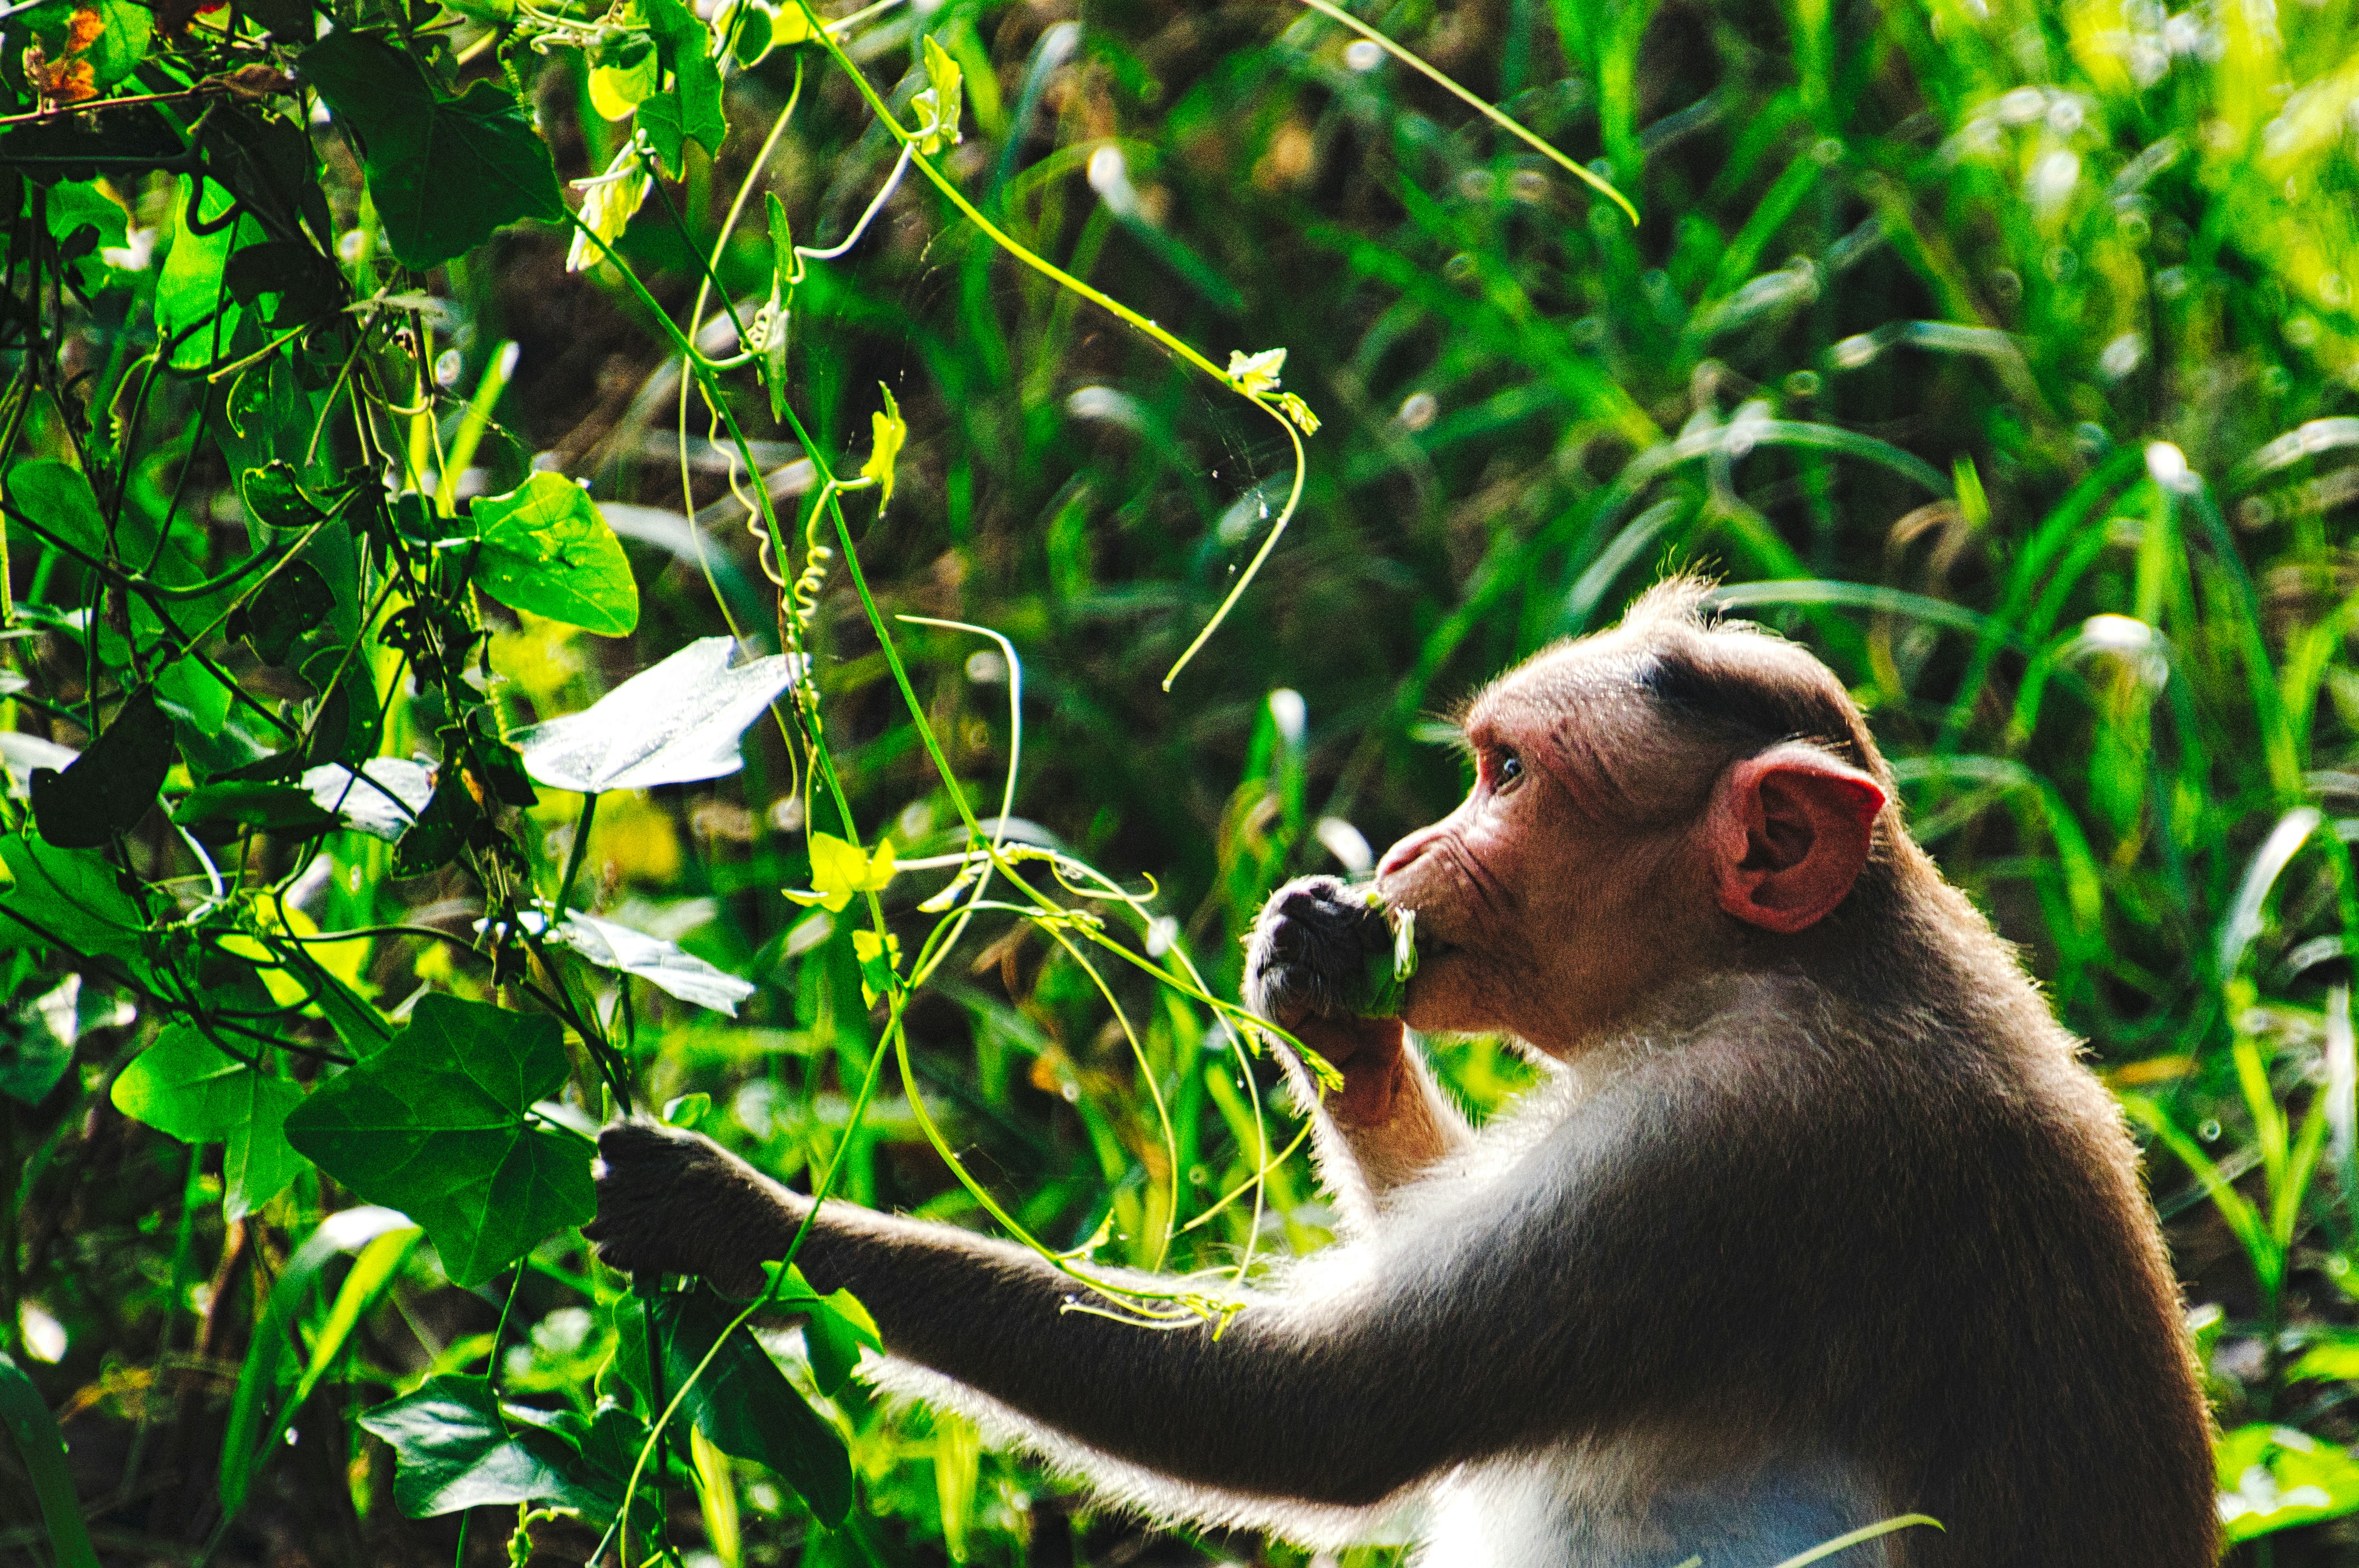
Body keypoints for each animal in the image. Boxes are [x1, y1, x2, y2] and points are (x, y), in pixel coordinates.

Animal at [585, 578, 2216, 1567]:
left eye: (1507, 776)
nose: (1409, 850)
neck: (1787, 963)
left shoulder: (1739, 1139)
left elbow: (1329, 1413)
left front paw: (743, 1220)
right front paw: (1333, 1002)